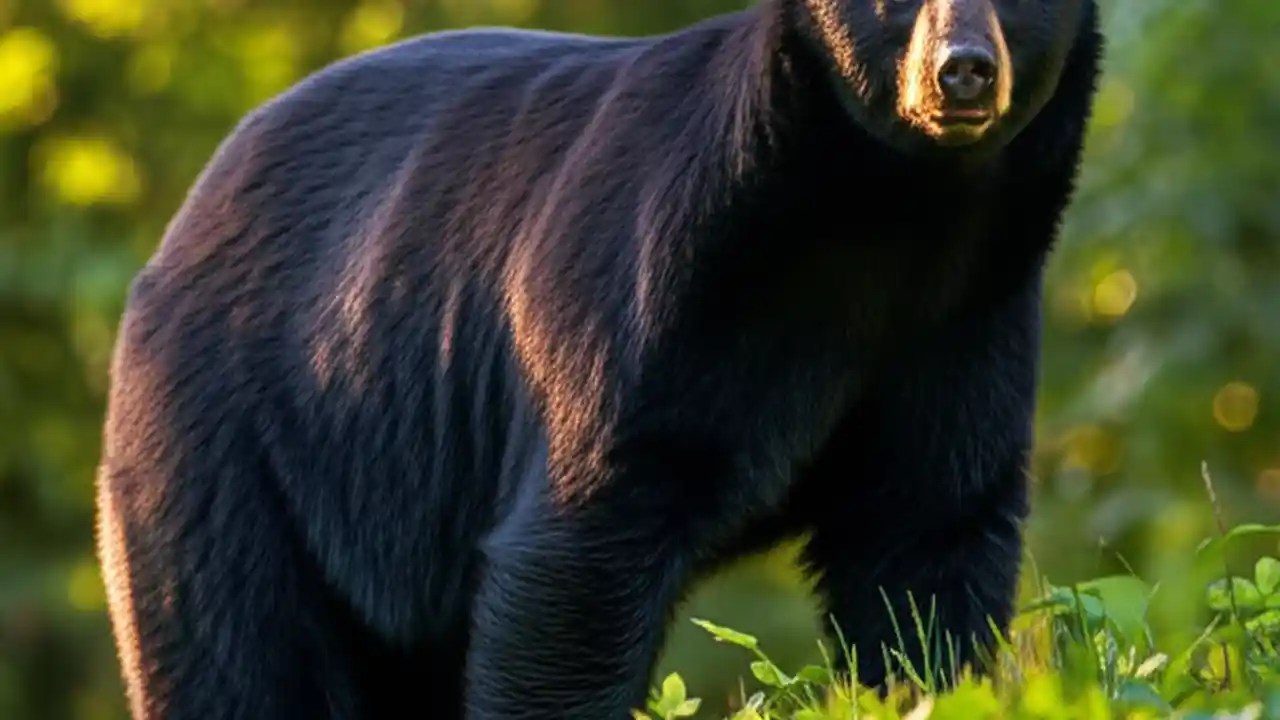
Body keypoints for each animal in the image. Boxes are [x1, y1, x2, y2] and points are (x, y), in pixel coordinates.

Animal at [95, 0, 1103, 717]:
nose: (961, 73)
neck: (890, 209)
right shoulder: (662, 283)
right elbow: (581, 547)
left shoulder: (965, 319)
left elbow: (927, 536)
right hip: (247, 441)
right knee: (234, 643)